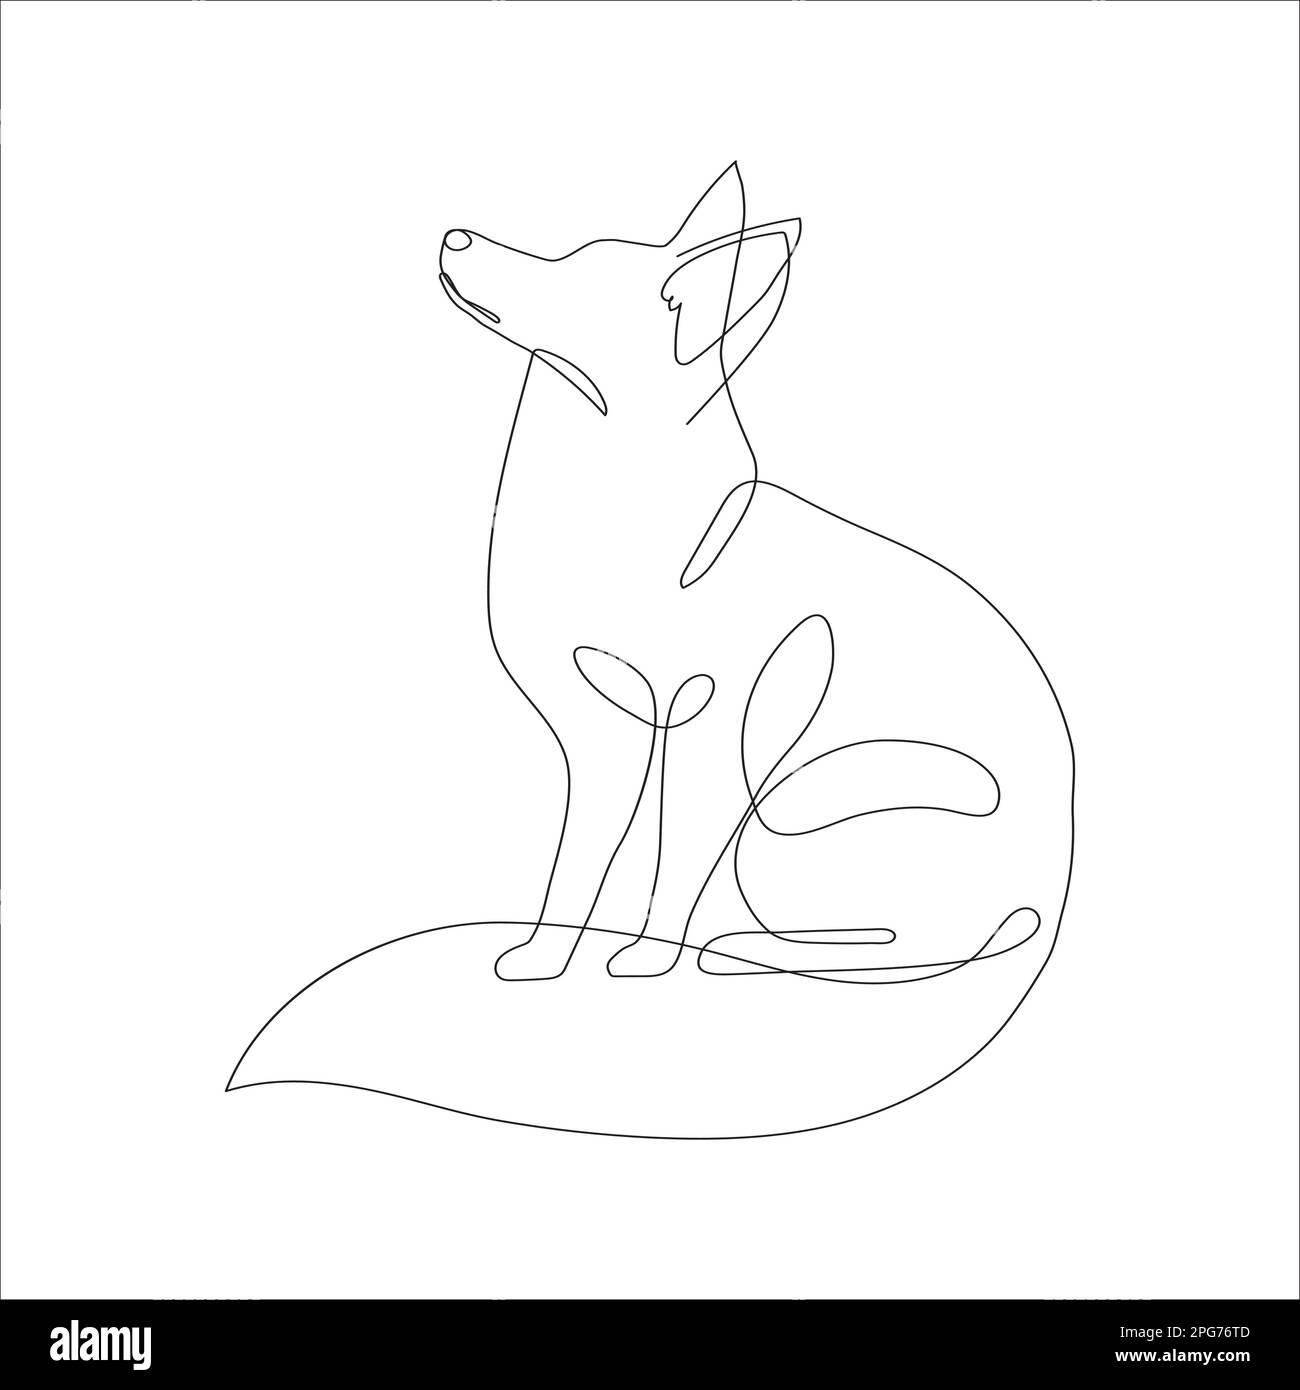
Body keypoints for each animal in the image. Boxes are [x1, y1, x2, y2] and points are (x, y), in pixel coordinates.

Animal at [437, 164, 1073, 986]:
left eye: (573, 274)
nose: (456, 235)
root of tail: (1049, 894)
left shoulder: (716, 725)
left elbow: (674, 853)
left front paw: (648, 956)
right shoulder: (597, 736)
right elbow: (577, 856)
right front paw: (548, 954)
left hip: (791, 819)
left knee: (922, 943)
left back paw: (739, 952)